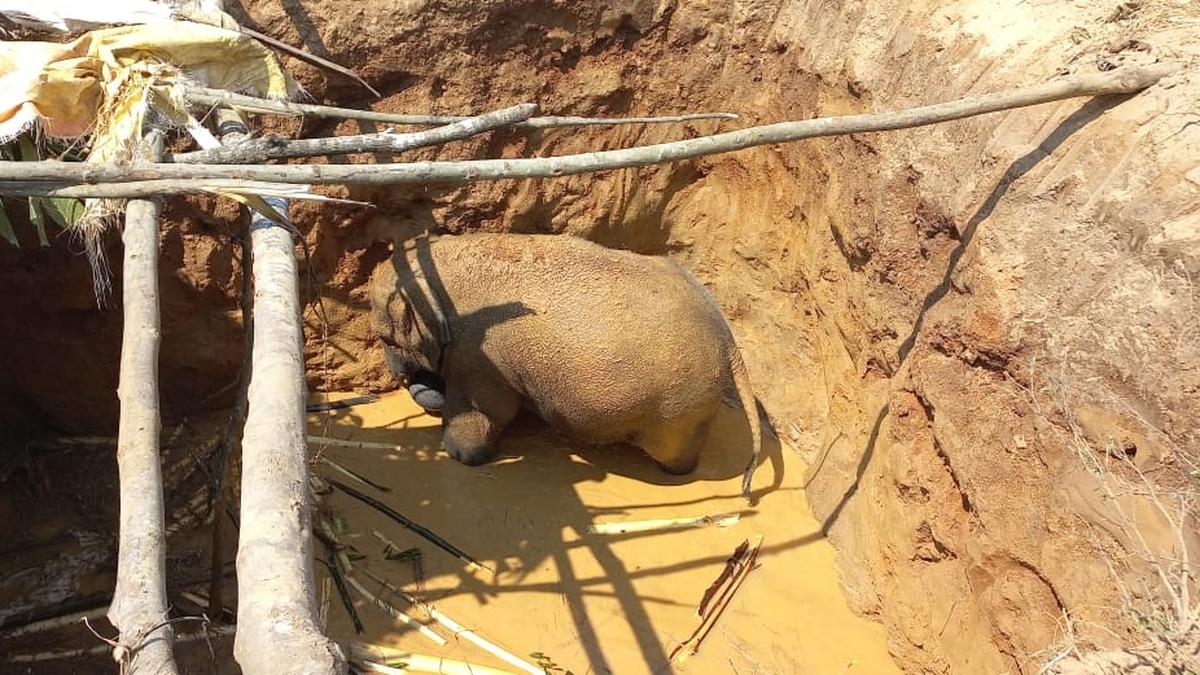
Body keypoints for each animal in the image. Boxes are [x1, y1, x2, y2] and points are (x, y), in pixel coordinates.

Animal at [368, 233, 762, 497]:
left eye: (386, 338)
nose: (405, 380)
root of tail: (729, 341)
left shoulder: (477, 355)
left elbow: (486, 407)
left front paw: (460, 453)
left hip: (677, 410)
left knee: (673, 454)